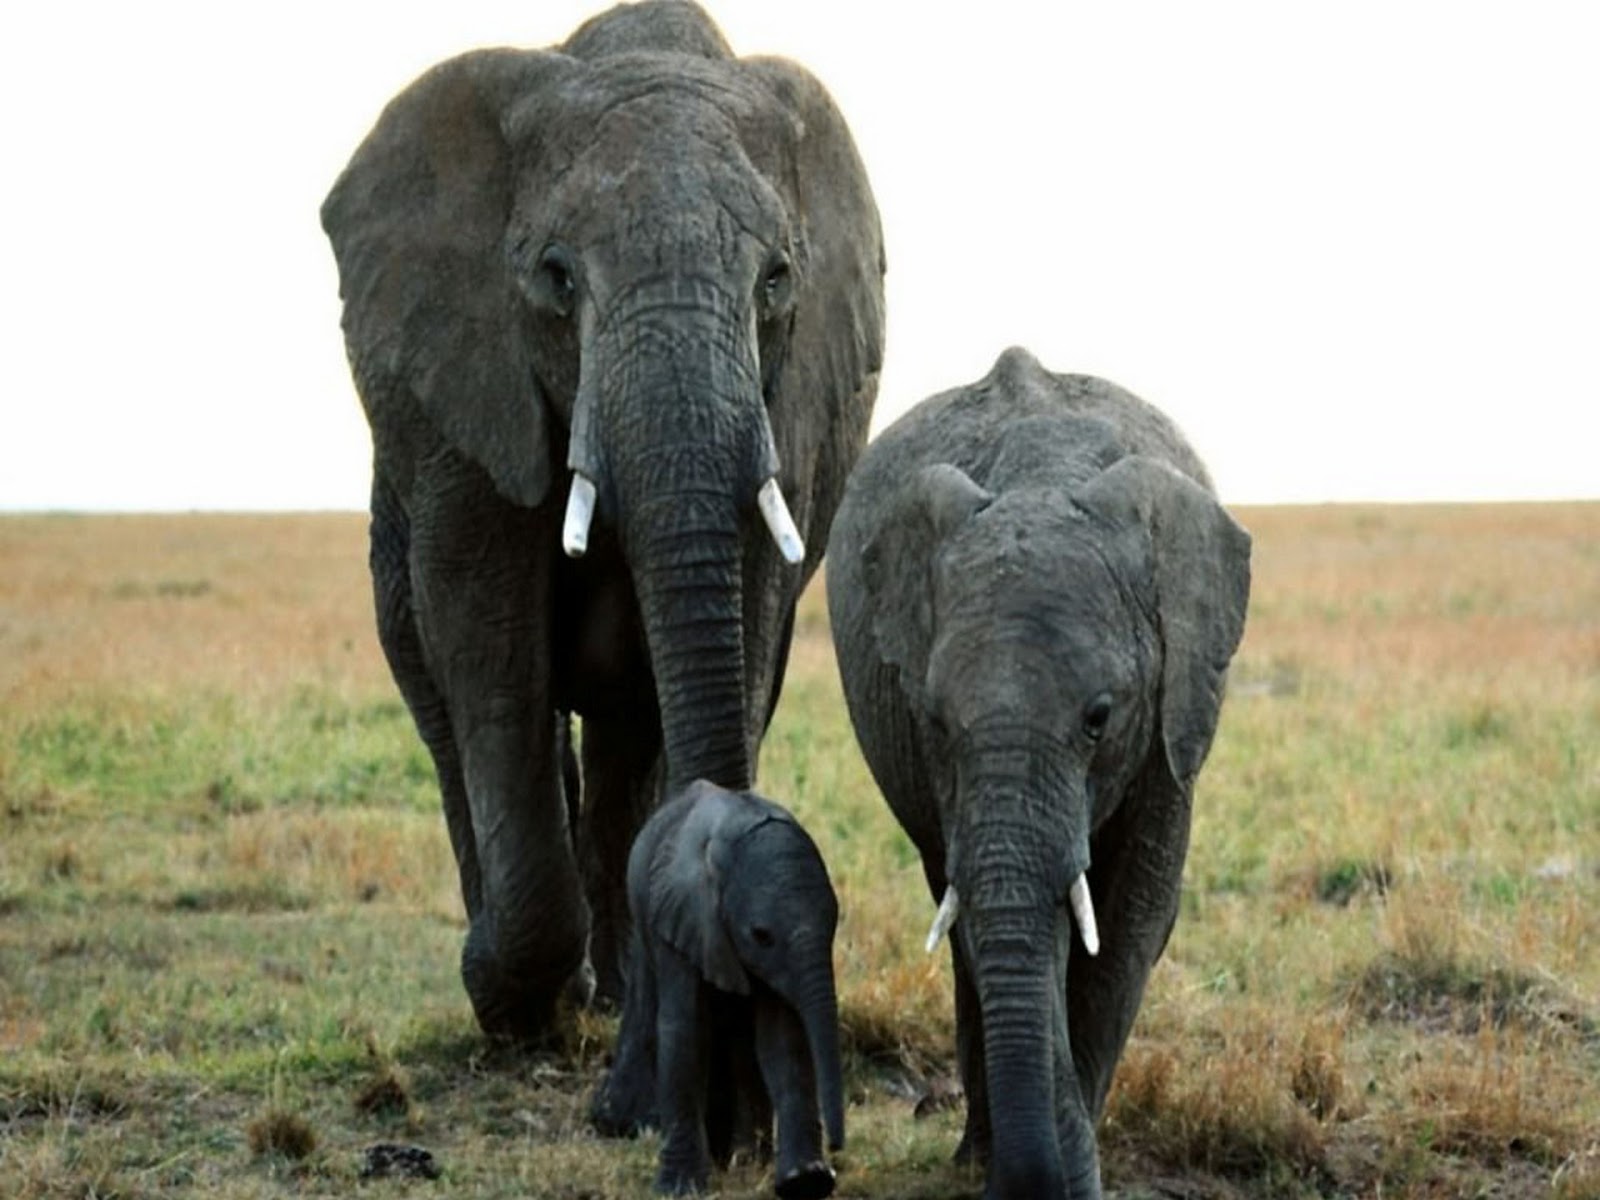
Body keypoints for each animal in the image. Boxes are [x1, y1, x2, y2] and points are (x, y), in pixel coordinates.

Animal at [320, 0, 884, 1034]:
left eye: (777, 280)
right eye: (557, 278)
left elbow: (748, 620)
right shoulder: (465, 399)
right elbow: (487, 639)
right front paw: (507, 1001)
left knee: (631, 727)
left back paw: (621, 991)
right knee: (447, 702)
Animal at [590, 780, 844, 1199]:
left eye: (835, 923)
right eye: (761, 935)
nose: (837, 1149)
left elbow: (782, 1038)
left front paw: (806, 1181)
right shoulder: (683, 919)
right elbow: (686, 1031)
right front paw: (679, 1189)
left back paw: (744, 1157)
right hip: (644, 913)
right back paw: (620, 1121)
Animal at [825, 347, 1251, 1199]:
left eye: (1100, 717)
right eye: (935, 720)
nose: (1043, 1178)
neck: (1043, 477)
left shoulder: (1171, 714)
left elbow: (1128, 921)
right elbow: (1008, 919)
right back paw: (975, 1155)